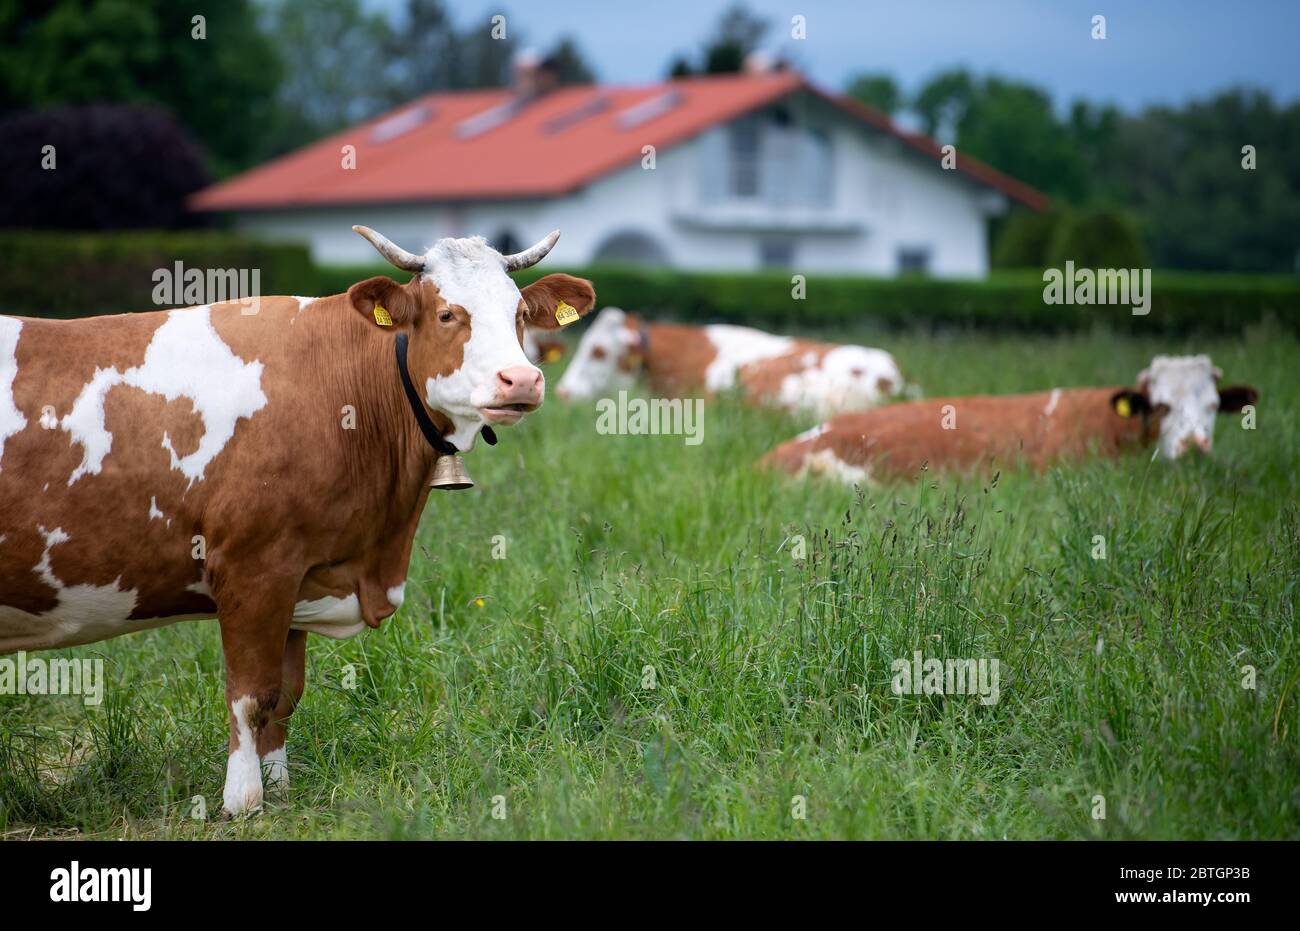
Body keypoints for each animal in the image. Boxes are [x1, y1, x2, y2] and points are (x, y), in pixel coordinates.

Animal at [0, 226, 595, 815]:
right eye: (448, 314)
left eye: (520, 312)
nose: (521, 379)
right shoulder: (253, 568)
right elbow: (251, 696)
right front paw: (243, 800)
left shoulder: (300, 574)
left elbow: (286, 694)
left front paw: (279, 786)